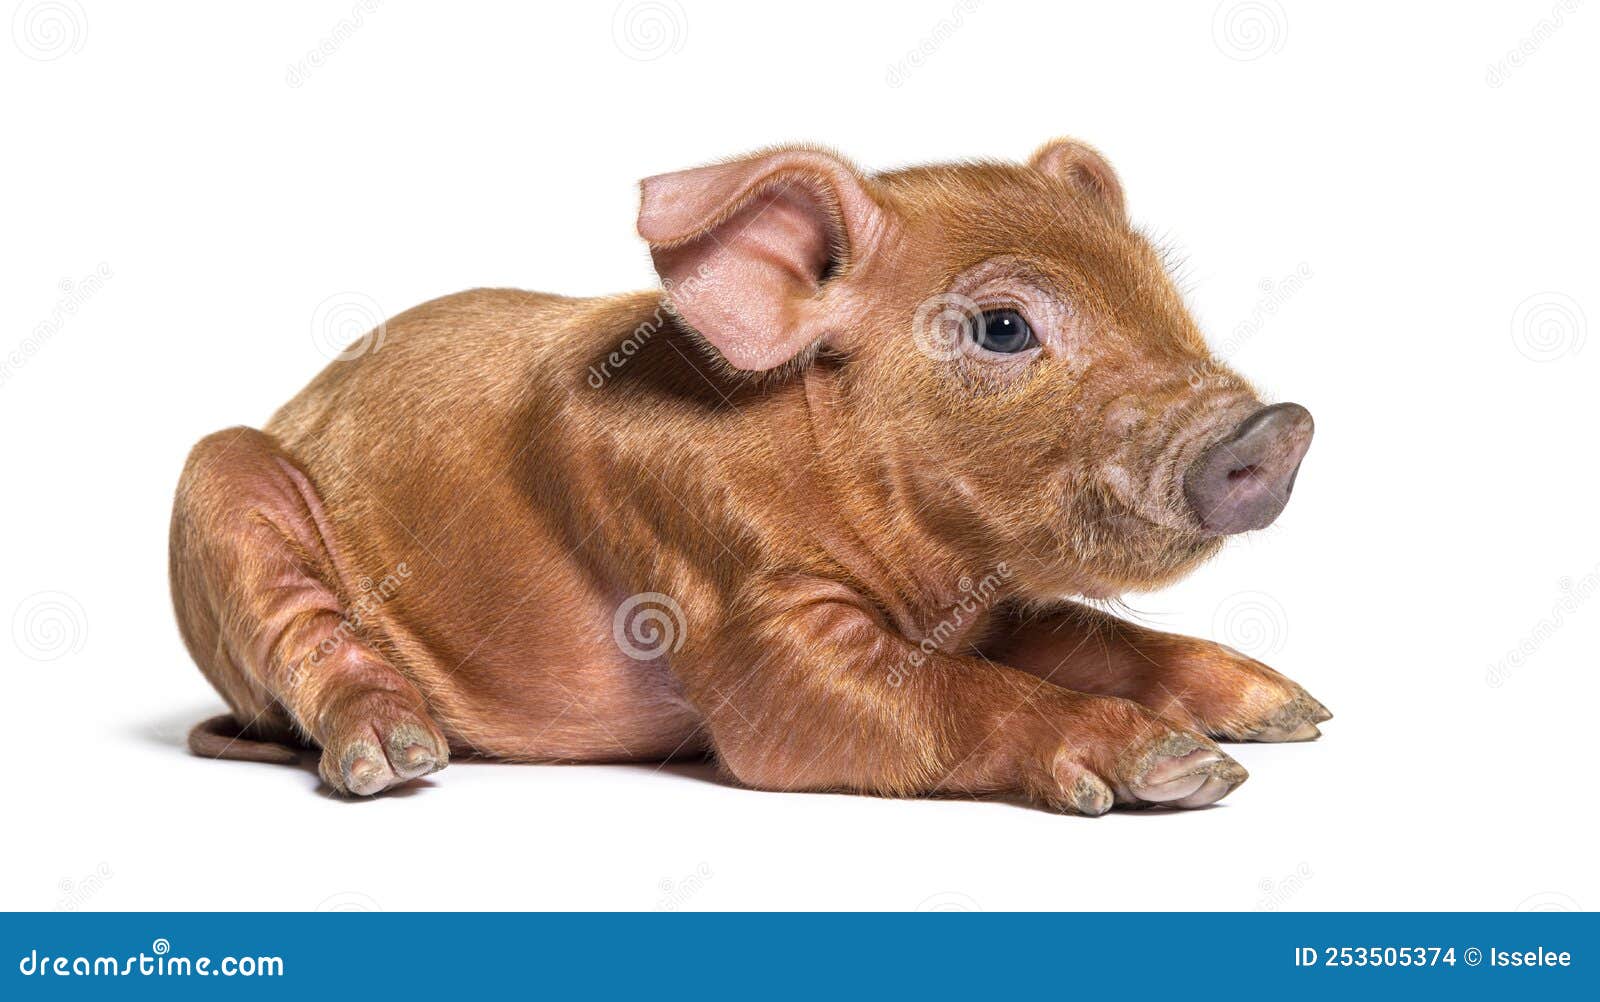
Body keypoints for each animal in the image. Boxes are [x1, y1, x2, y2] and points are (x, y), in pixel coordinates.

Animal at [170, 139, 1323, 814]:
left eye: (1156, 285)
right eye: (1002, 327)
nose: (1277, 426)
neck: (933, 582)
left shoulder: (994, 602)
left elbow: (1095, 636)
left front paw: (1291, 715)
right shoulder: (728, 593)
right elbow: (932, 698)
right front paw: (1186, 771)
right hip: (217, 487)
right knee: (305, 633)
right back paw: (398, 758)